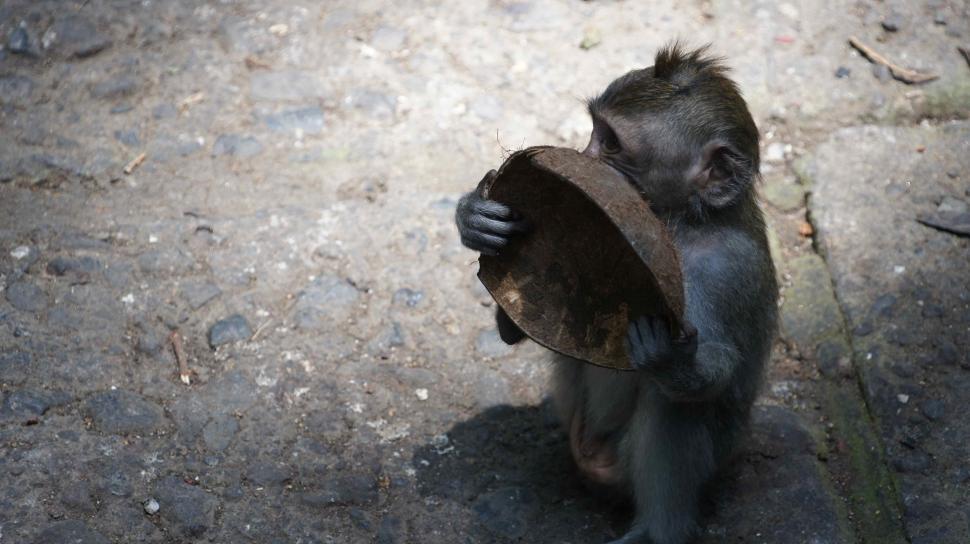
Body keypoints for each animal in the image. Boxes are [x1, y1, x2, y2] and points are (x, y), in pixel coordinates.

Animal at [455, 44, 777, 544]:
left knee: (675, 408)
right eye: (595, 130)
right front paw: (475, 217)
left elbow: (715, 369)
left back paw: (659, 530)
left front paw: (670, 359)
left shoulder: (725, 270)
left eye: (613, 144)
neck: (679, 223)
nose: (581, 156)